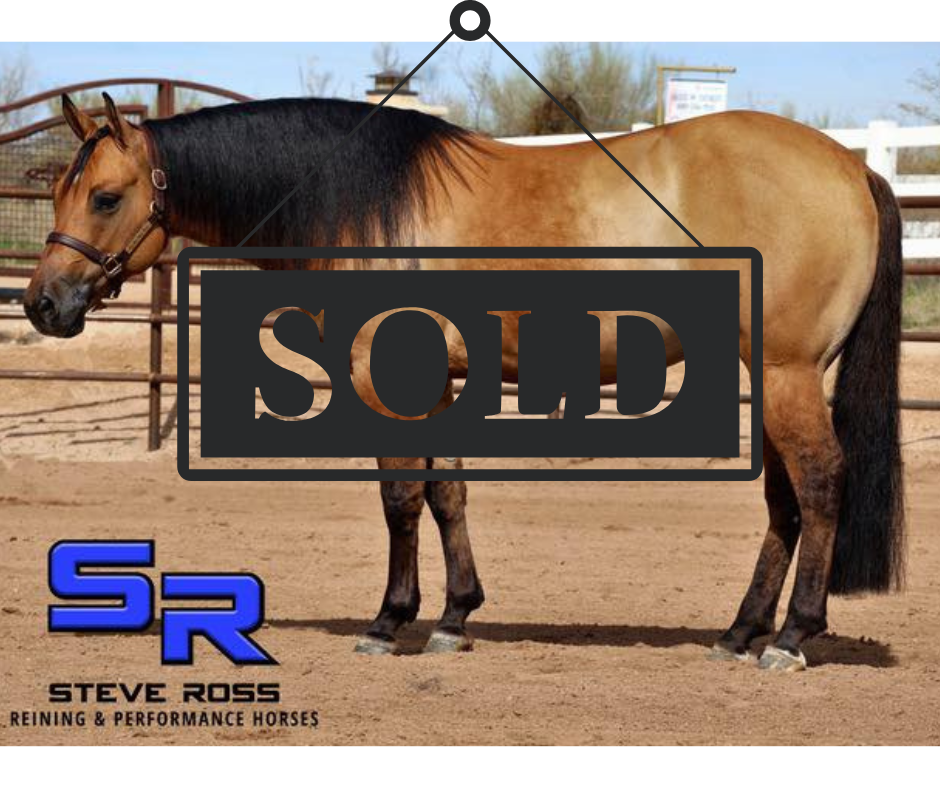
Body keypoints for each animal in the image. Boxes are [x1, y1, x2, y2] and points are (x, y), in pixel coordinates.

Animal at [24, 92, 904, 672]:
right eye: (61, 189)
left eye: (106, 196)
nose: (42, 304)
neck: (359, 204)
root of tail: (849, 165)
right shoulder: (431, 382)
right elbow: (448, 492)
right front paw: (454, 617)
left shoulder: (382, 380)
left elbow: (400, 498)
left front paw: (389, 621)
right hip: (770, 376)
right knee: (784, 499)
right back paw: (740, 632)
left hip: (787, 374)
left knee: (820, 483)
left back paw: (791, 638)